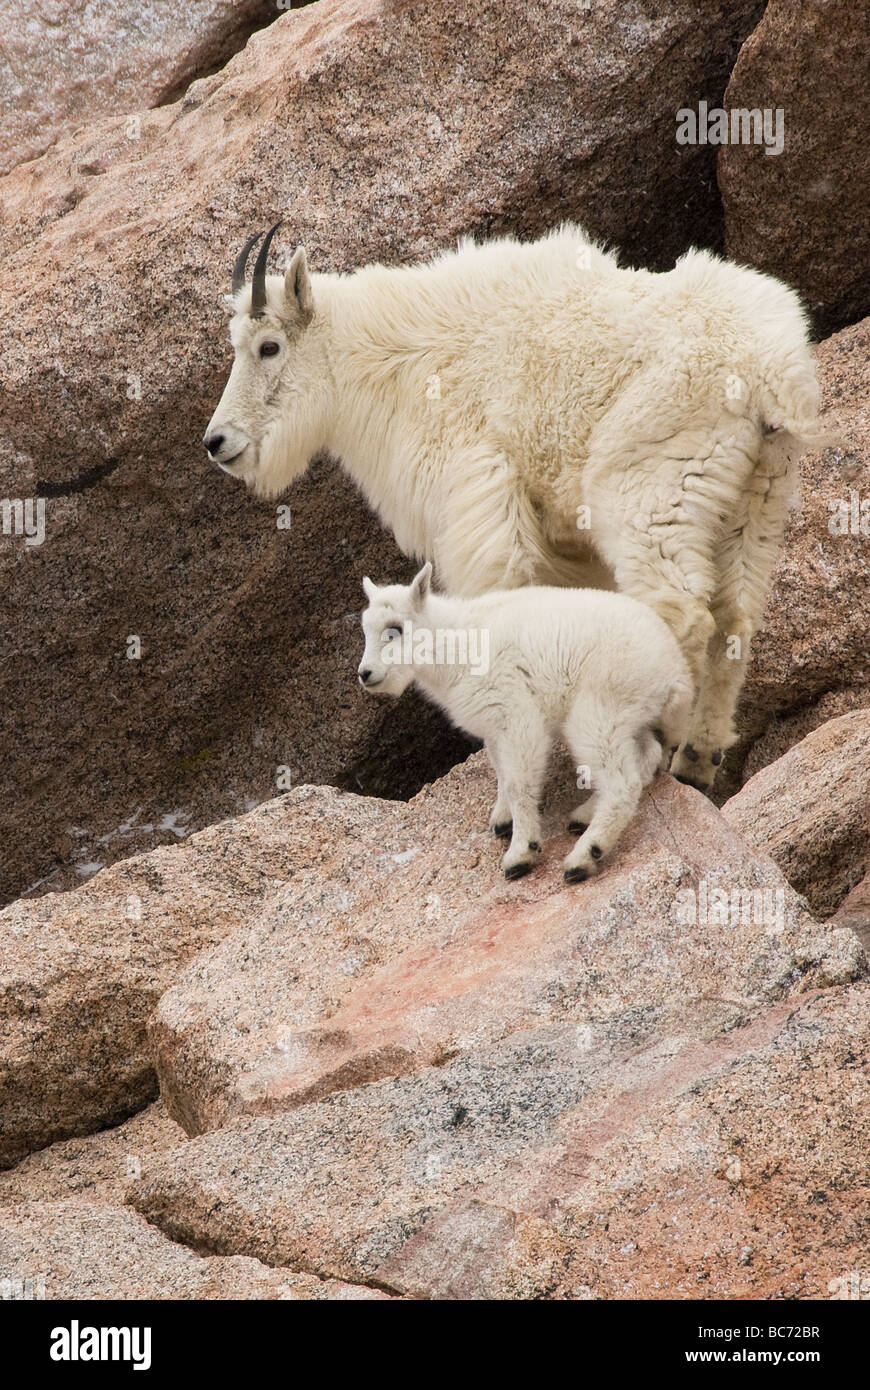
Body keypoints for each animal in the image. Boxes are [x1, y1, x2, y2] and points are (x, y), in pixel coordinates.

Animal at [205, 223, 819, 791]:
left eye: (268, 346)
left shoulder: (480, 501)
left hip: (648, 486)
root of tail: (770, 373)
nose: (217, 442)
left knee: (683, 612)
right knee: (735, 618)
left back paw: (658, 740)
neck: (401, 363)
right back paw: (698, 758)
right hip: (756, 499)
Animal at [357, 563, 693, 881]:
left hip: (598, 712)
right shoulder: (493, 726)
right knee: (647, 756)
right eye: (366, 629)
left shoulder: (516, 714)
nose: (365, 674)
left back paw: (584, 857)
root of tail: (676, 674)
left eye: (395, 629)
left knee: (623, 783)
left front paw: (521, 853)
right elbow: (501, 771)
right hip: (630, 717)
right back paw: (584, 815)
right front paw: (502, 819)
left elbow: (519, 783)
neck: (456, 647)